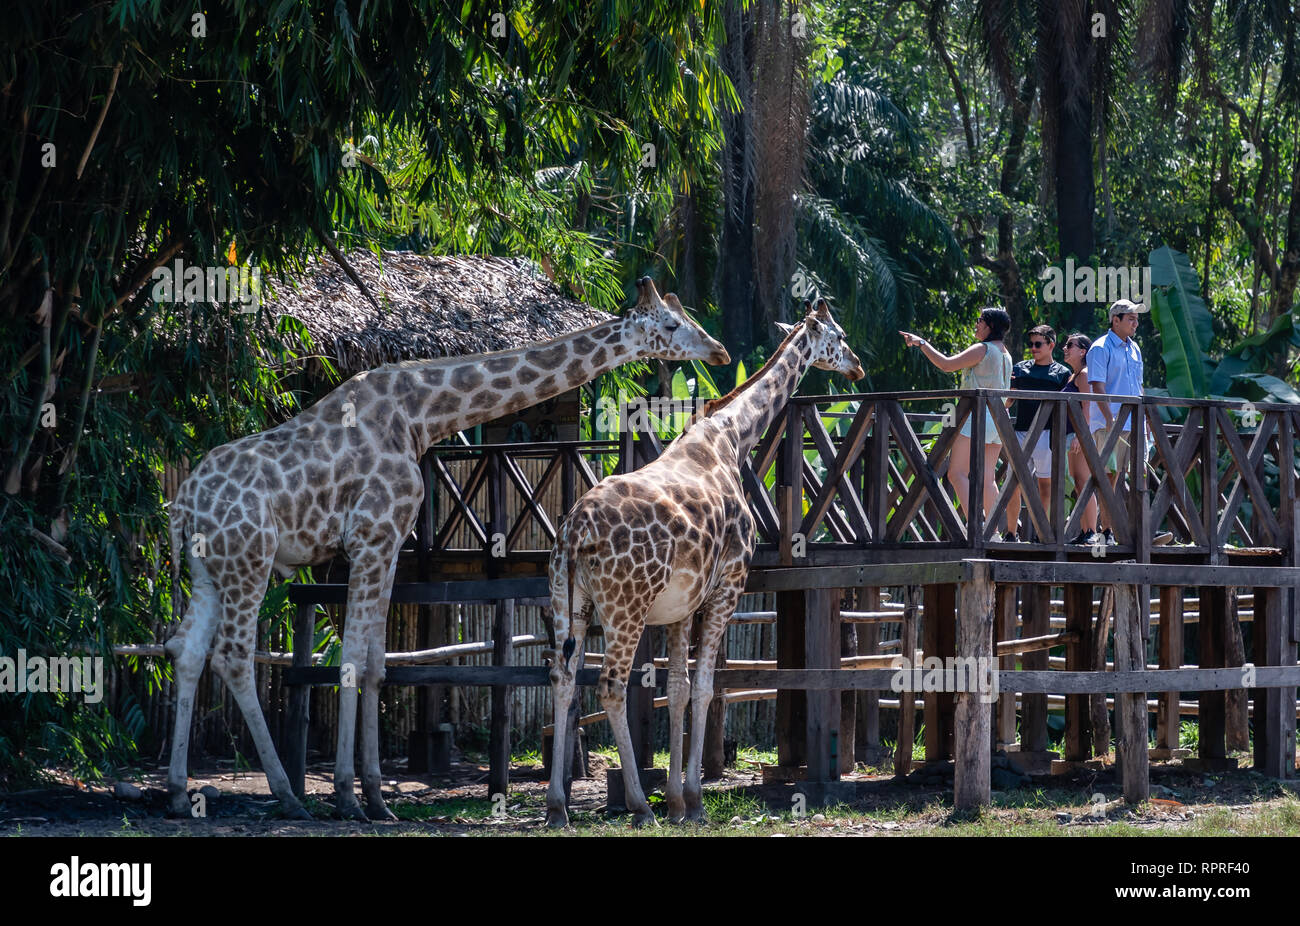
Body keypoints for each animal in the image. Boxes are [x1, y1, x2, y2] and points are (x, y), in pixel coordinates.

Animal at [164, 277, 729, 821]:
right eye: (672, 323)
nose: (719, 350)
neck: (421, 417)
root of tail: (184, 506)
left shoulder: (389, 543)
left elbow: (377, 664)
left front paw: (377, 798)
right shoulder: (370, 537)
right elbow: (350, 659)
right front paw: (347, 796)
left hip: (208, 570)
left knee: (186, 648)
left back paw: (177, 792)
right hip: (249, 560)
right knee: (233, 656)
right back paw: (287, 795)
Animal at [545, 299, 862, 827]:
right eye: (837, 335)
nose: (857, 365)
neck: (732, 437)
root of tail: (574, 532)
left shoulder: (681, 605)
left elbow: (676, 688)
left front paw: (676, 800)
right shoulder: (727, 588)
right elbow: (707, 689)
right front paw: (691, 800)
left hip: (568, 601)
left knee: (563, 678)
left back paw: (557, 808)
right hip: (625, 607)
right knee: (610, 685)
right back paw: (638, 806)